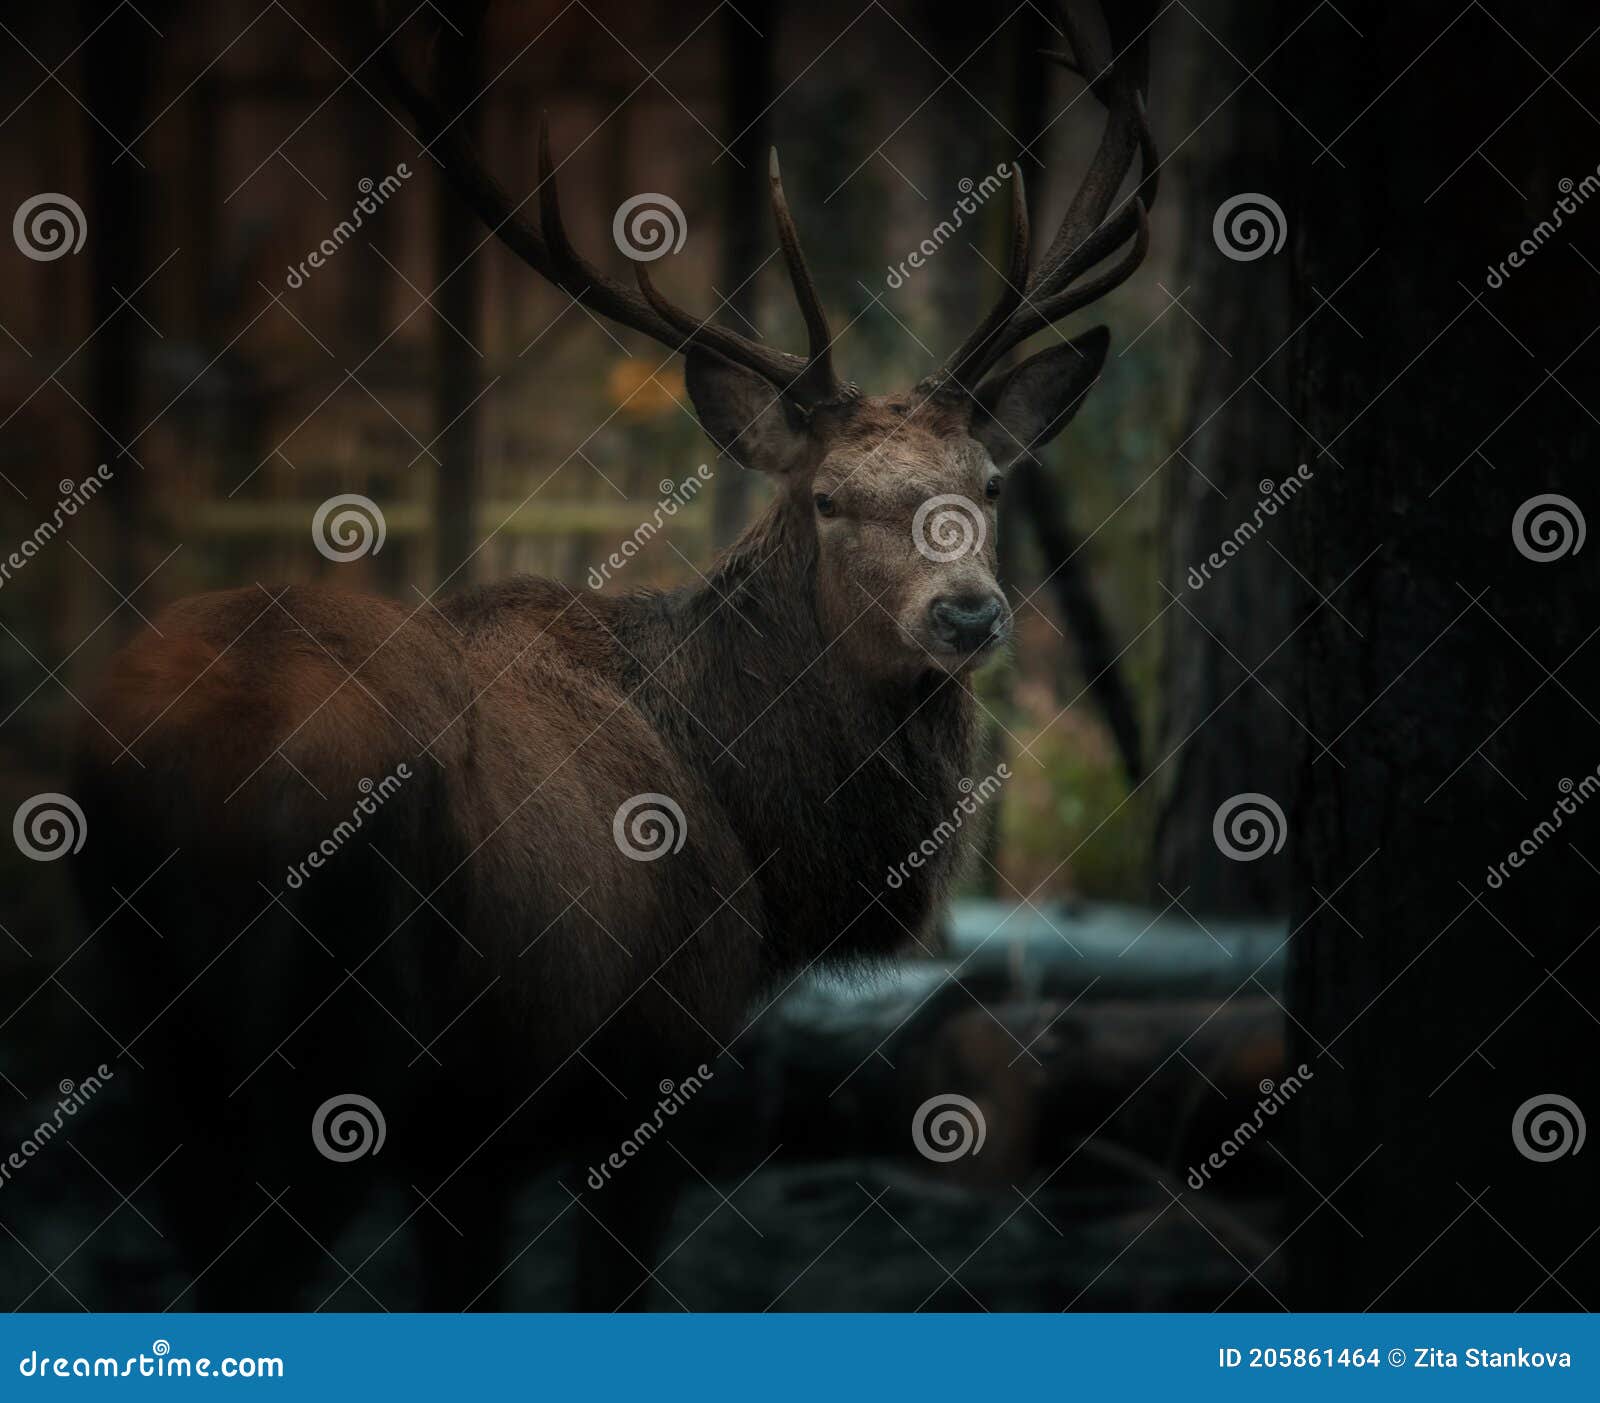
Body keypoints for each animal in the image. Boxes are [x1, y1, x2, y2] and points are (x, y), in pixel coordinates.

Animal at [70, 1, 1156, 1310]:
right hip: (333, 1057)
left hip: (163, 1056)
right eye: (830, 497)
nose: (967, 613)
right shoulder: (648, 1064)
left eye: (988, 483)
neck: (759, 836)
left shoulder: (463, 1141)